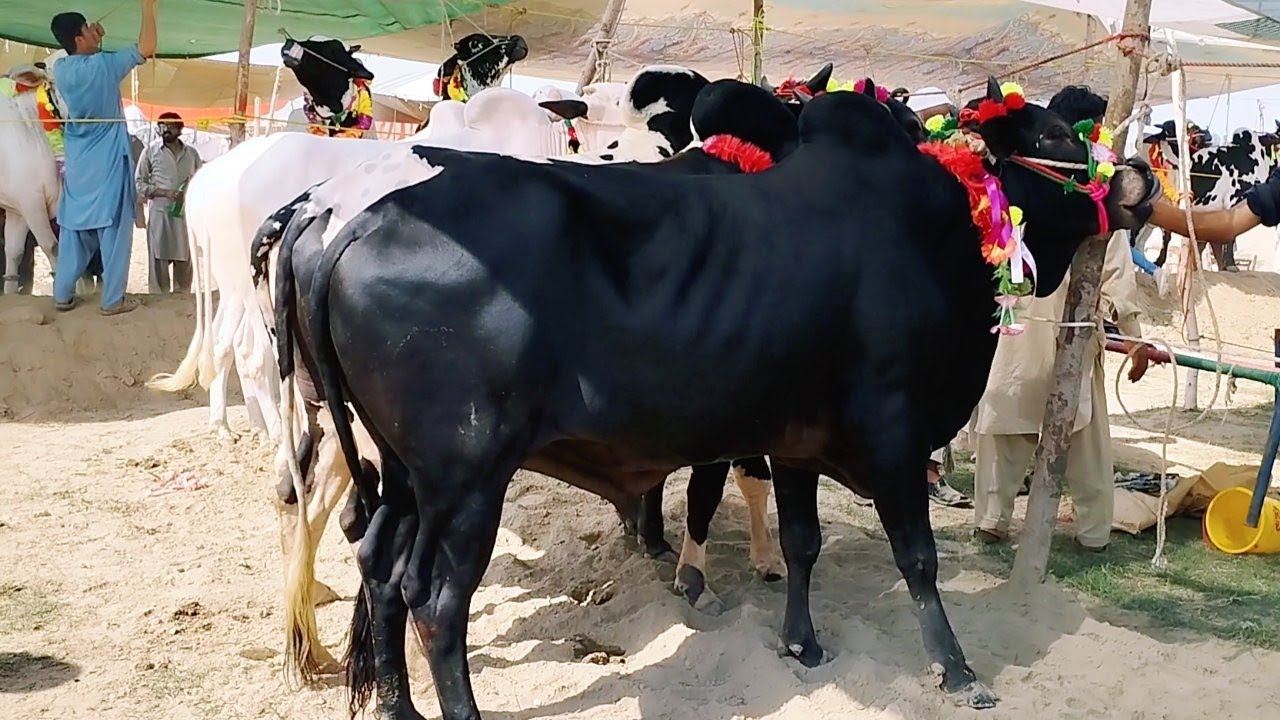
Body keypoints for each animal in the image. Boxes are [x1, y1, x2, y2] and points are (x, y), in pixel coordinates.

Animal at [266, 78, 1156, 717]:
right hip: (466, 476)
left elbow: (802, 542)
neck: (943, 230)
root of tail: (346, 214)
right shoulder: (895, 436)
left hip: (405, 469)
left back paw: (399, 708)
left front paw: (801, 644)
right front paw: (959, 670)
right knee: (435, 600)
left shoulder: (796, 439)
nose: (1140, 176)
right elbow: (918, 558)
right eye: (1051, 138)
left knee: (378, 567)